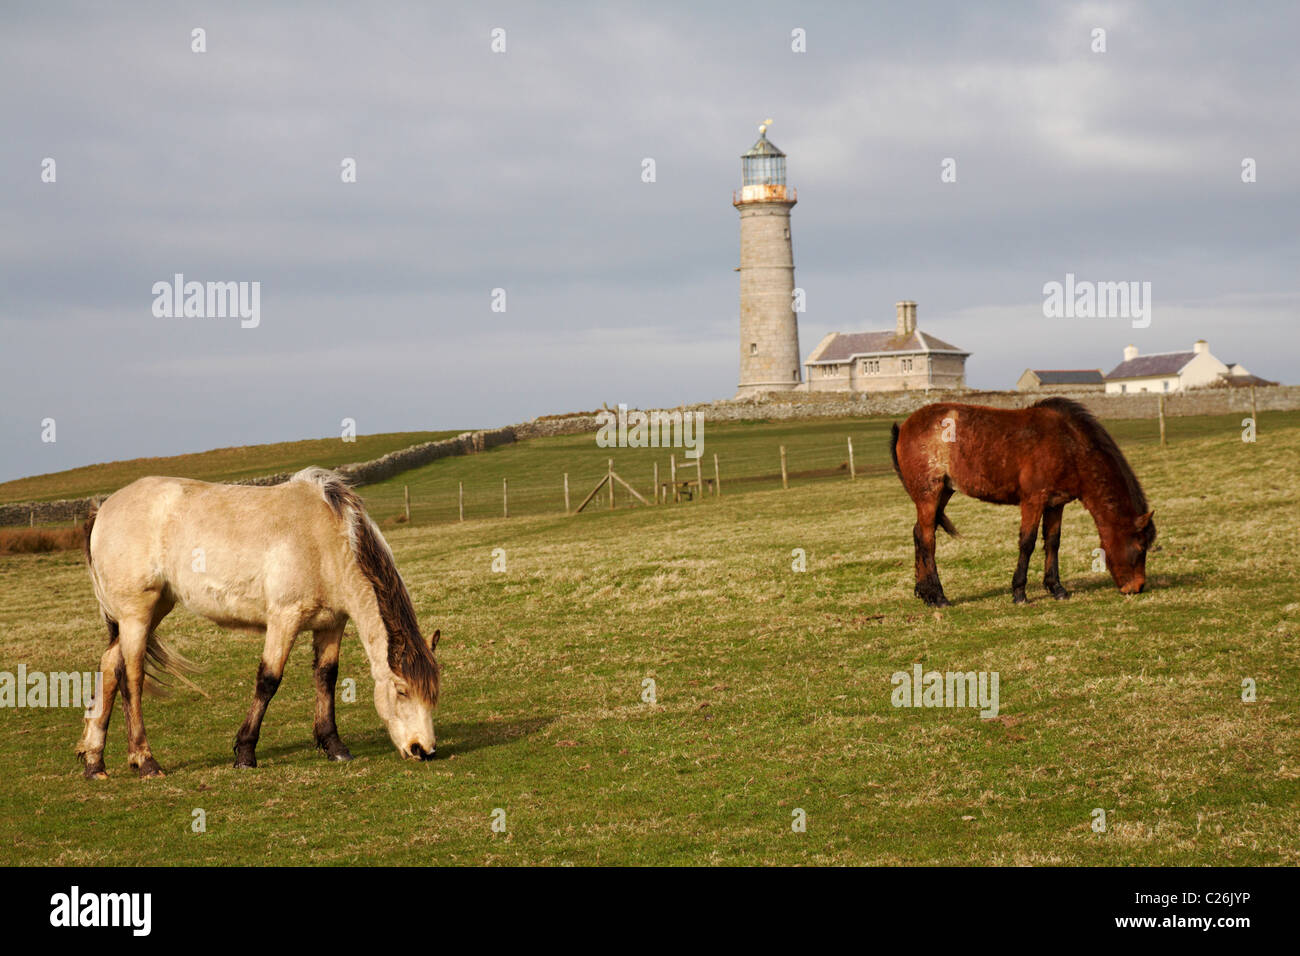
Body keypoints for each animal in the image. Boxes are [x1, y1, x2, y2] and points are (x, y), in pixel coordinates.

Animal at [77, 467, 440, 779]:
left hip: (152, 610)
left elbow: (326, 678)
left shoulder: (331, 624)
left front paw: (334, 746)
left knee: (110, 666)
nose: (422, 750)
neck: (325, 540)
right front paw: (245, 753)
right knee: (131, 678)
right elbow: (268, 680)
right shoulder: (284, 618)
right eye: (402, 690)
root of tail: (105, 509)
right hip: (137, 614)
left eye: (432, 695)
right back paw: (145, 761)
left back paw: (94, 762)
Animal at [889, 398, 1155, 607]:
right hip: (929, 494)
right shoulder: (1033, 502)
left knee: (919, 534)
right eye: (1141, 548)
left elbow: (1053, 542)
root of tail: (904, 427)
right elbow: (1027, 543)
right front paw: (1019, 592)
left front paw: (1056, 588)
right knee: (927, 540)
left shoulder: (1055, 504)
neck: (1067, 444)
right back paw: (938, 596)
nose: (1137, 588)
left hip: (943, 492)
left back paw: (923, 592)